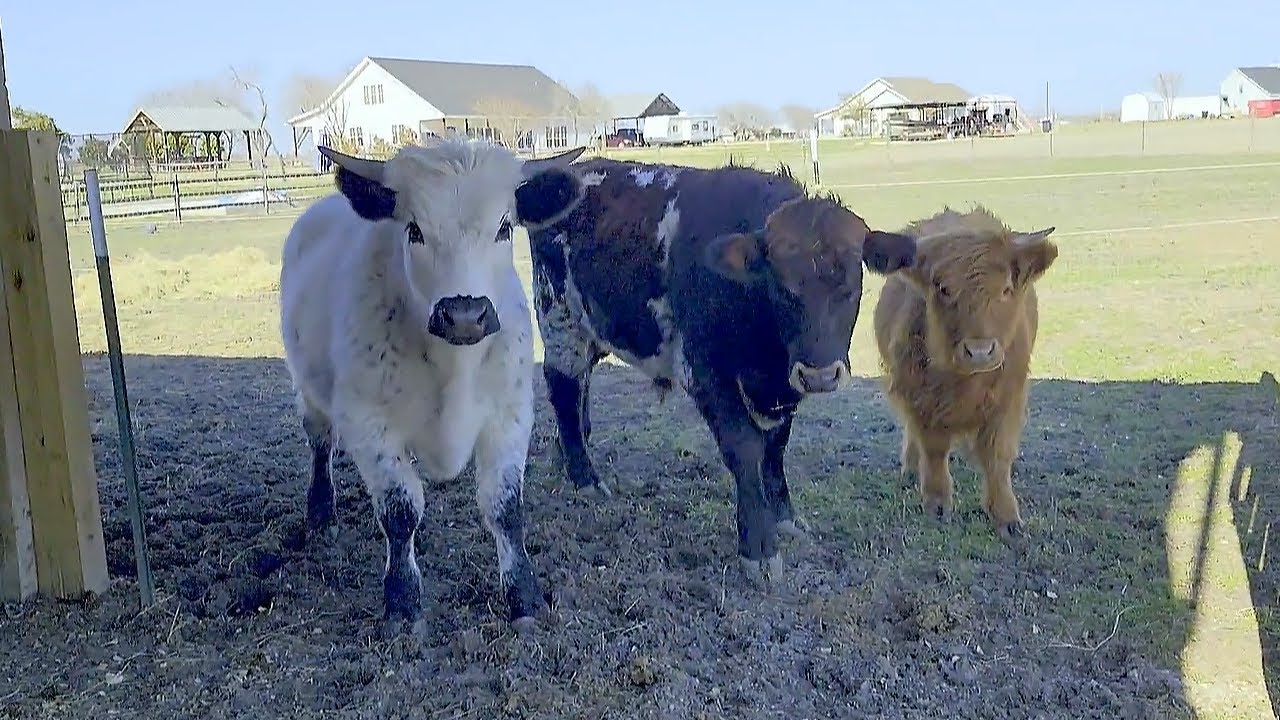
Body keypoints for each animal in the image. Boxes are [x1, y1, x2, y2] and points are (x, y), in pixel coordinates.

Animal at [278, 136, 587, 633]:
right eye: (414, 230)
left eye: (505, 227)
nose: (465, 314)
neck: (452, 368)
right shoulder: (369, 424)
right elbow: (401, 512)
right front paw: (403, 601)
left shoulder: (510, 416)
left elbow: (505, 507)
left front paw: (524, 596)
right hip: (308, 392)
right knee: (320, 445)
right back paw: (321, 512)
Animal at [525, 157, 917, 584]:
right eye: (782, 288)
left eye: (852, 284)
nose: (819, 376)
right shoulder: (706, 374)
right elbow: (745, 448)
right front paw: (758, 547)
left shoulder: (781, 388)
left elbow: (775, 447)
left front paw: (784, 518)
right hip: (559, 319)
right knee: (563, 387)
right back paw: (585, 480)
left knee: (580, 387)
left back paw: (566, 457)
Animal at [871, 205, 1058, 543]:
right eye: (943, 288)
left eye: (1006, 289)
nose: (980, 351)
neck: (964, 384)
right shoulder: (918, 397)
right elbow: (933, 450)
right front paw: (937, 505)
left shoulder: (1008, 400)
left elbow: (997, 458)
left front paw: (1007, 517)